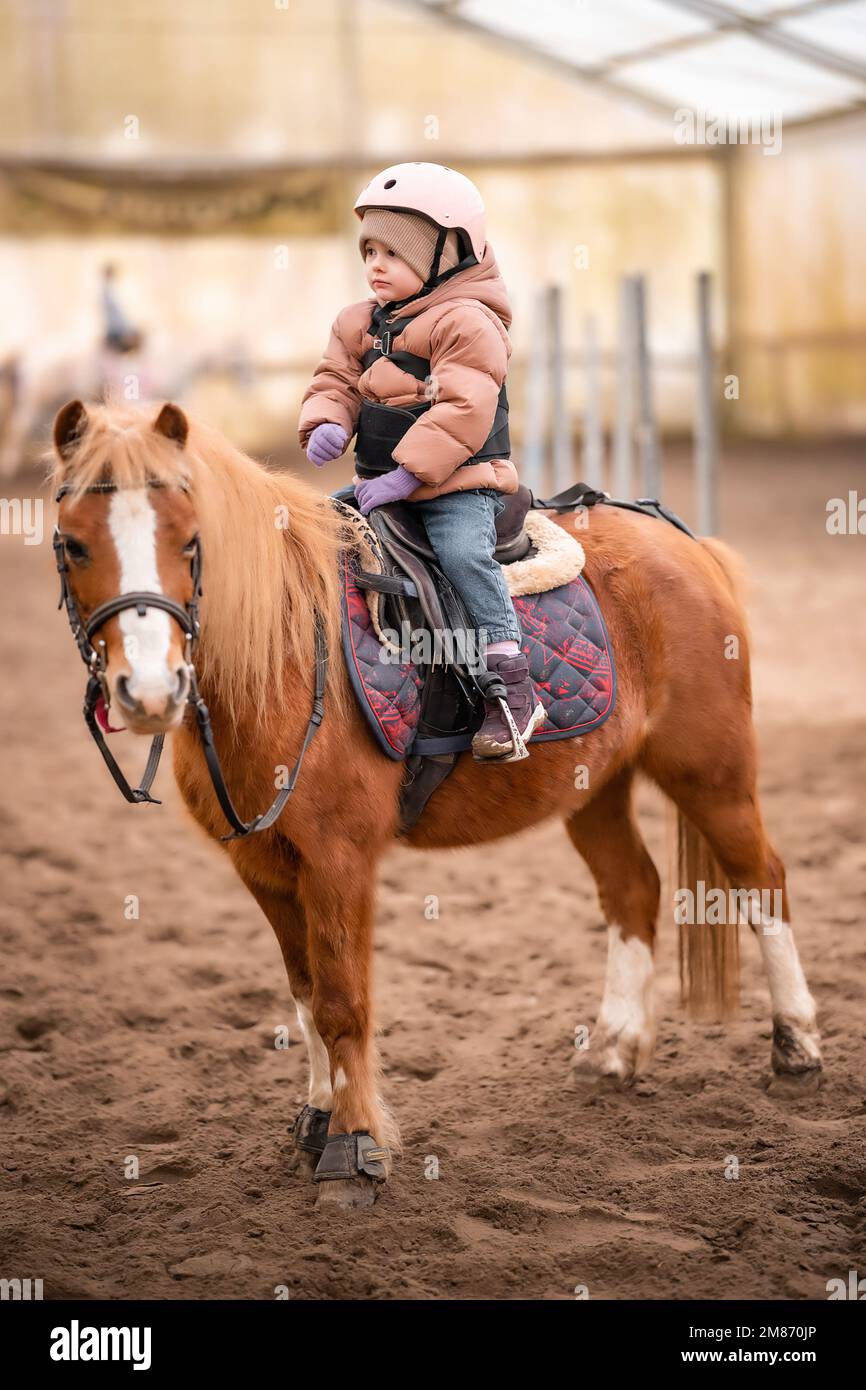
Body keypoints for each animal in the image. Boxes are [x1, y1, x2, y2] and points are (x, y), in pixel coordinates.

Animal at [50, 398, 823, 1210]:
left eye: (191, 541)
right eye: (72, 544)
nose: (148, 692)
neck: (284, 651)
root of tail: (687, 545)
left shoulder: (339, 861)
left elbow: (343, 1003)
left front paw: (353, 1150)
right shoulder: (264, 867)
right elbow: (304, 997)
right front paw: (317, 1123)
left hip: (711, 770)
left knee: (761, 880)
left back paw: (796, 1047)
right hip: (596, 787)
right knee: (632, 890)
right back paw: (614, 1051)